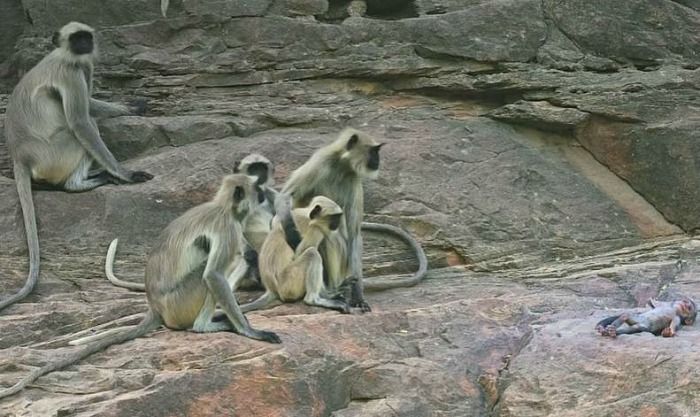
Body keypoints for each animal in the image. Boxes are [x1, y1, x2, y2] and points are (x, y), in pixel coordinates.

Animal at [0, 22, 153, 312]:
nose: (84, 44)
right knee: (83, 127)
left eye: (86, 37)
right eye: (75, 39)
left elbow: (91, 103)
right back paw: (83, 182)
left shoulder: (84, 66)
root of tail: (20, 155)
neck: (65, 56)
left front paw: (132, 106)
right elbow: (81, 120)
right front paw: (125, 174)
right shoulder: (70, 73)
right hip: (54, 153)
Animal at [0, 174, 280, 400]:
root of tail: (155, 307)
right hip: (180, 301)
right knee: (210, 273)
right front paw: (251, 331)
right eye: (258, 192)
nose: (265, 196)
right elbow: (212, 275)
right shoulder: (227, 227)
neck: (222, 207)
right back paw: (205, 326)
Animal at [275, 128, 428, 312]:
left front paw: (358, 297)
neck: (341, 165)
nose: (378, 160)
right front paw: (292, 236)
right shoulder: (320, 161)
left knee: (333, 238)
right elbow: (285, 196)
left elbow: (354, 235)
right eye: (374, 151)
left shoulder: (354, 180)